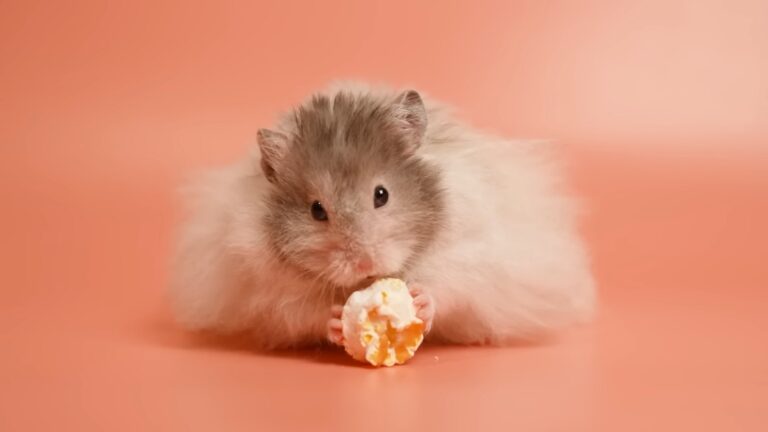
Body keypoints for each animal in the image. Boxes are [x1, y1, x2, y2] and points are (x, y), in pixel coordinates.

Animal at [170, 82, 596, 349]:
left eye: (381, 194)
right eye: (316, 210)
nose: (364, 263)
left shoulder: (472, 251)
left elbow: (449, 284)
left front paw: (421, 300)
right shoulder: (269, 291)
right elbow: (303, 311)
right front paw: (336, 320)